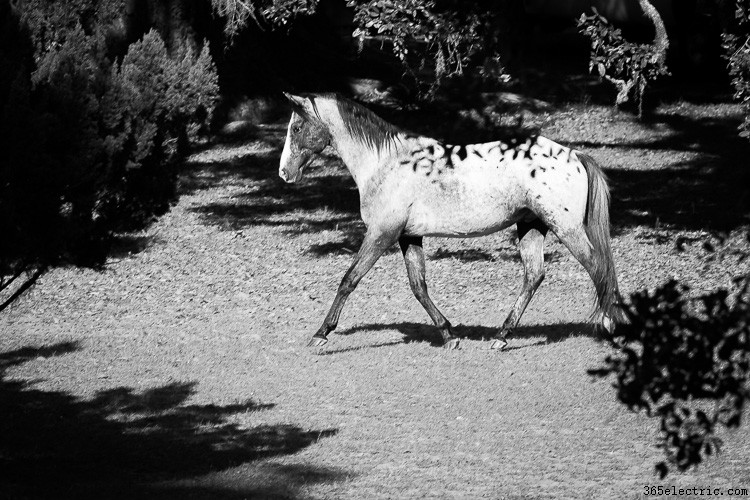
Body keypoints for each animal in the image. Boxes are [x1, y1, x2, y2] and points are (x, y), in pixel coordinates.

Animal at [280, 93, 624, 352]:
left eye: (296, 127)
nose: (284, 173)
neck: (387, 164)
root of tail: (575, 155)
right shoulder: (408, 237)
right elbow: (418, 286)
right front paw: (448, 335)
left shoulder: (381, 234)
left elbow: (349, 280)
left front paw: (321, 333)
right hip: (531, 227)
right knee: (535, 275)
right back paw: (502, 337)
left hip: (566, 228)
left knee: (598, 268)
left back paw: (611, 328)